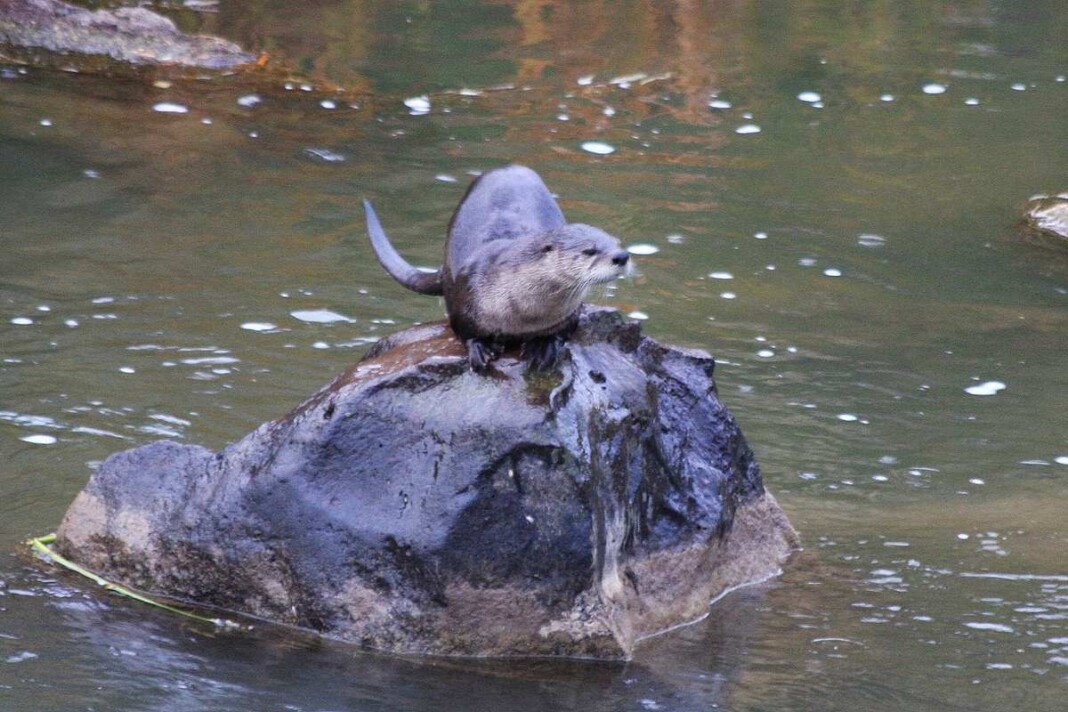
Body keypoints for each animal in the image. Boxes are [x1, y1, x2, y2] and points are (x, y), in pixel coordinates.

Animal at [364, 165, 631, 370]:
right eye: (589, 250)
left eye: (616, 242)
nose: (622, 256)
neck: (525, 313)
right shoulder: (466, 295)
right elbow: (463, 330)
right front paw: (479, 348)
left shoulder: (569, 312)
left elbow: (564, 330)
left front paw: (544, 346)